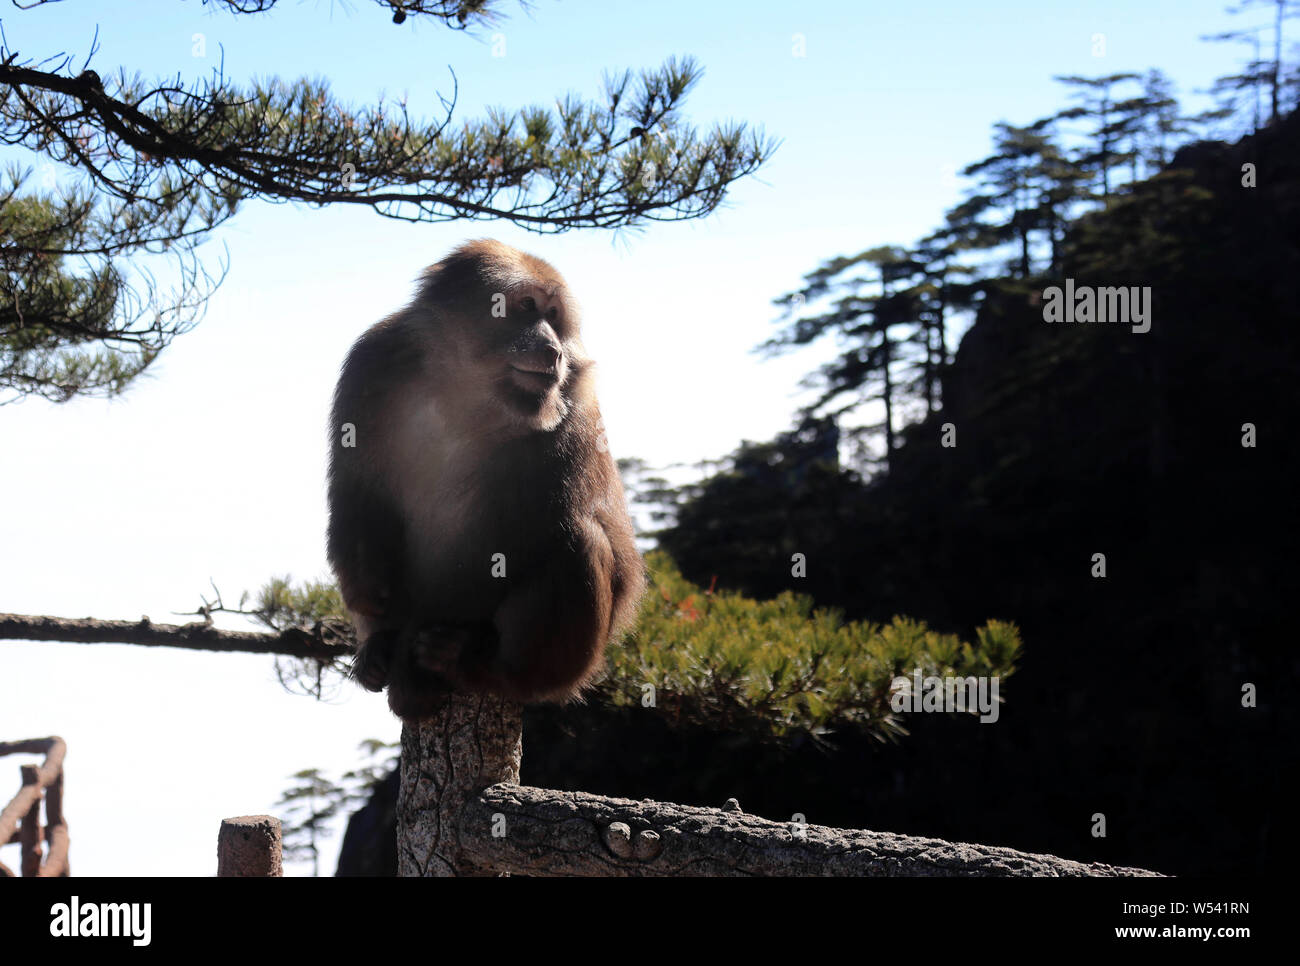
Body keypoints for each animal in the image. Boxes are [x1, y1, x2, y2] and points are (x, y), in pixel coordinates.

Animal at [326, 239, 645, 719]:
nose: (553, 349)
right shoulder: (371, 363)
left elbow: (529, 533)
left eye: (554, 317)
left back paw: (490, 669)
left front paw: (414, 669)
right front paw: (373, 610)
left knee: (578, 540)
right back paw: (379, 648)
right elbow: (359, 489)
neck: (466, 389)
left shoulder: (574, 403)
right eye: (527, 306)